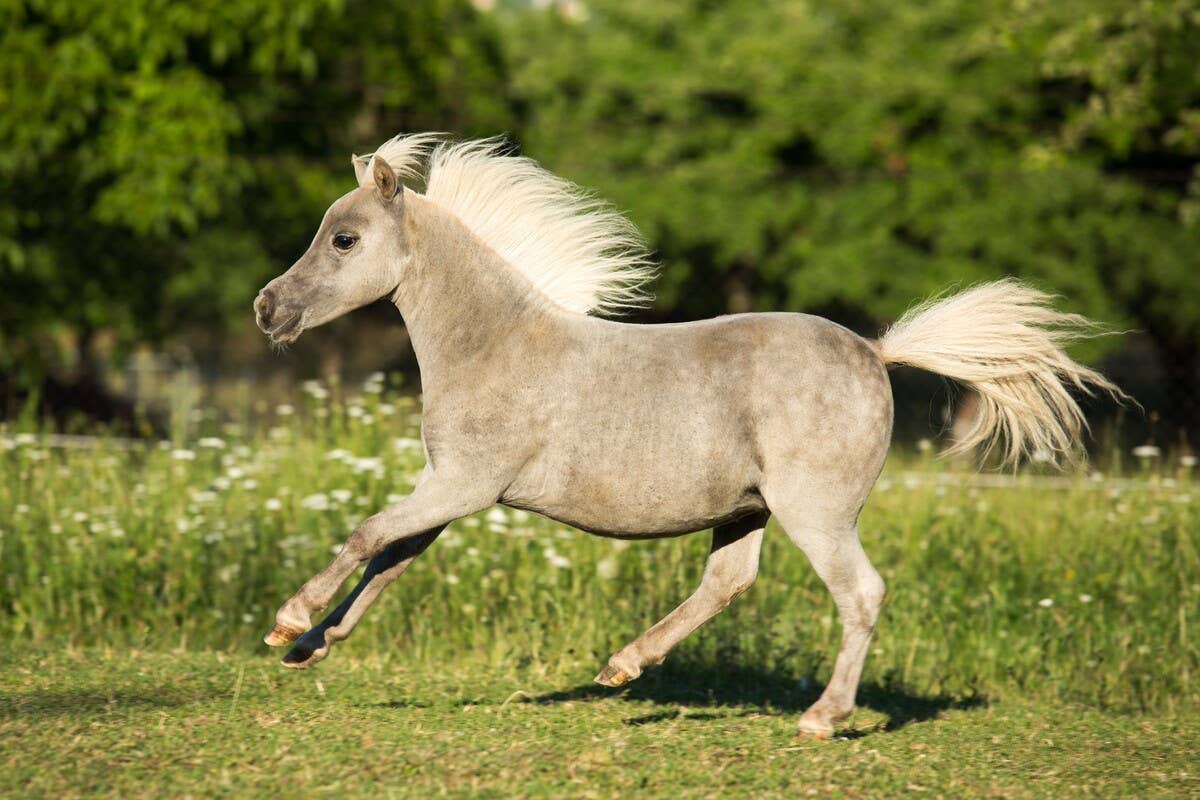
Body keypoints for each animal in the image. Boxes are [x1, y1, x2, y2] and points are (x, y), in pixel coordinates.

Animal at [253, 133, 1121, 738]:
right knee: (728, 582)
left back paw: (820, 717)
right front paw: (311, 648)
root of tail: (877, 353)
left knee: (860, 592)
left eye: (343, 240)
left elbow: (369, 535)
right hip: (747, 508)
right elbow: (391, 559)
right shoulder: (451, 491)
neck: (493, 343)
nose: (268, 309)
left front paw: (289, 621)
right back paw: (621, 666)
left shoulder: (462, 485)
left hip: (814, 511)